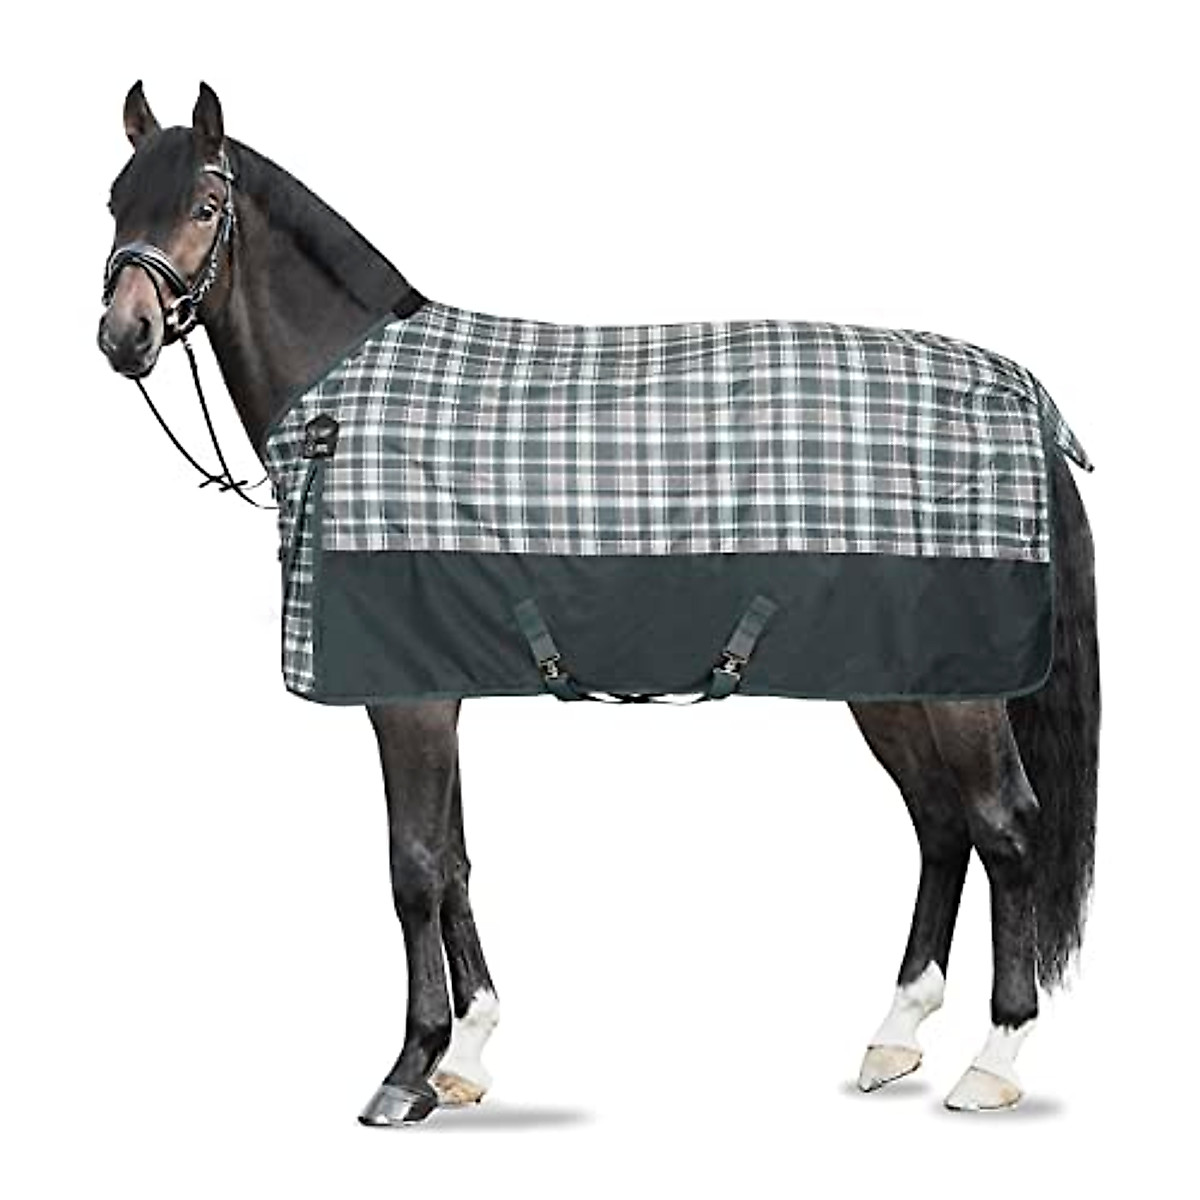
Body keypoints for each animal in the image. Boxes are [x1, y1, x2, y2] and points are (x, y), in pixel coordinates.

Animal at [96, 82, 1099, 1124]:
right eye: (114, 203)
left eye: (204, 207)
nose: (125, 336)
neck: (348, 411)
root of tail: (1026, 403)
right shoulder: (438, 689)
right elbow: (455, 860)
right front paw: (468, 1054)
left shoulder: (406, 699)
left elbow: (414, 868)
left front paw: (408, 1068)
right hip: (891, 683)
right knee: (941, 826)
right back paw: (895, 1037)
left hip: (960, 691)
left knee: (1005, 828)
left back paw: (995, 1060)